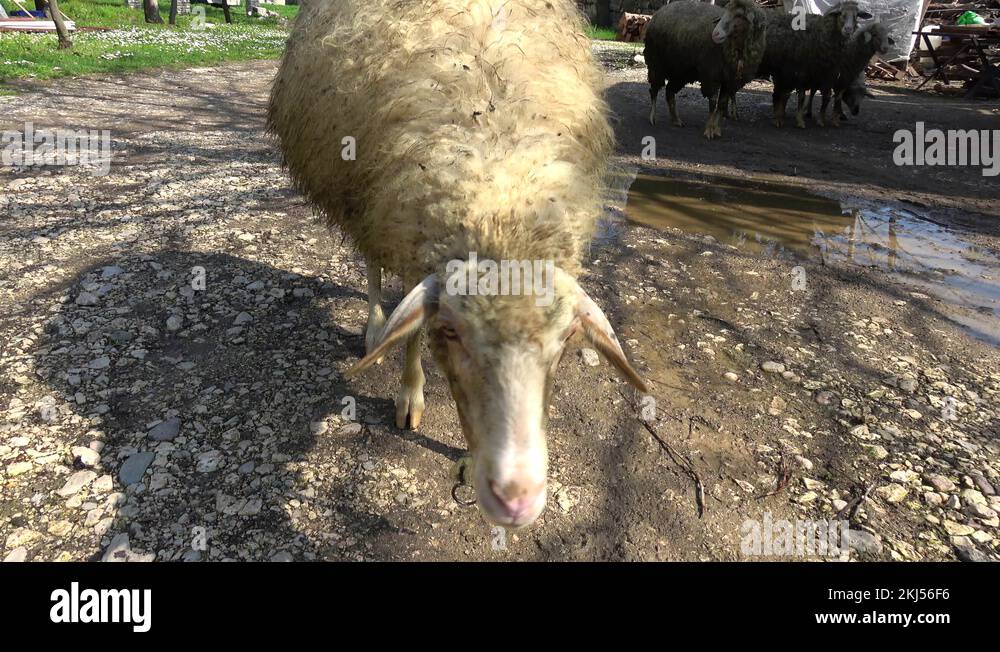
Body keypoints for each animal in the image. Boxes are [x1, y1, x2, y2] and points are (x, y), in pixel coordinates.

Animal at [268, 0, 647, 529]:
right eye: (451, 331)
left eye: (565, 343)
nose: (517, 499)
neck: (500, 203)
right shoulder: (404, 223)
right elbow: (411, 335)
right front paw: (409, 395)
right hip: (363, 197)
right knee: (372, 265)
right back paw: (375, 324)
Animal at [644, 0, 768, 139]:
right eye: (725, 12)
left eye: (740, 15)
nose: (715, 34)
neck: (735, 48)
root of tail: (660, 11)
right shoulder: (710, 75)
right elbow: (713, 104)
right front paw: (709, 130)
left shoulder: (729, 80)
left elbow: (721, 105)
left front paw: (717, 129)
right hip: (656, 63)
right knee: (654, 90)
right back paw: (653, 117)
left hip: (680, 71)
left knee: (669, 91)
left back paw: (676, 120)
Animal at [757, 0, 871, 129]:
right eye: (841, 14)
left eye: (856, 16)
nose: (848, 29)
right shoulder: (801, 71)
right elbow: (799, 96)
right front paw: (796, 120)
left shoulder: (824, 74)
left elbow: (825, 96)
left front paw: (819, 119)